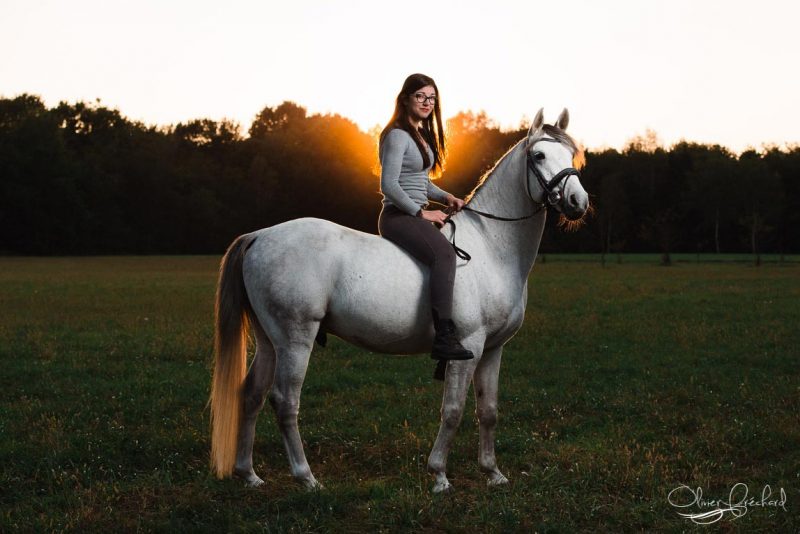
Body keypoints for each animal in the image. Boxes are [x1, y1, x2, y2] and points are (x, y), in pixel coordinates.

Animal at [210, 108, 589, 493]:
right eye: (539, 156)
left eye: (572, 155)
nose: (578, 202)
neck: (490, 247)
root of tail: (259, 235)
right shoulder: (468, 346)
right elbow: (453, 411)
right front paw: (439, 474)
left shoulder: (494, 349)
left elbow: (489, 411)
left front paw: (493, 473)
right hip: (295, 339)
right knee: (285, 401)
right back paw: (307, 478)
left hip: (269, 340)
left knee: (252, 395)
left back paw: (249, 474)